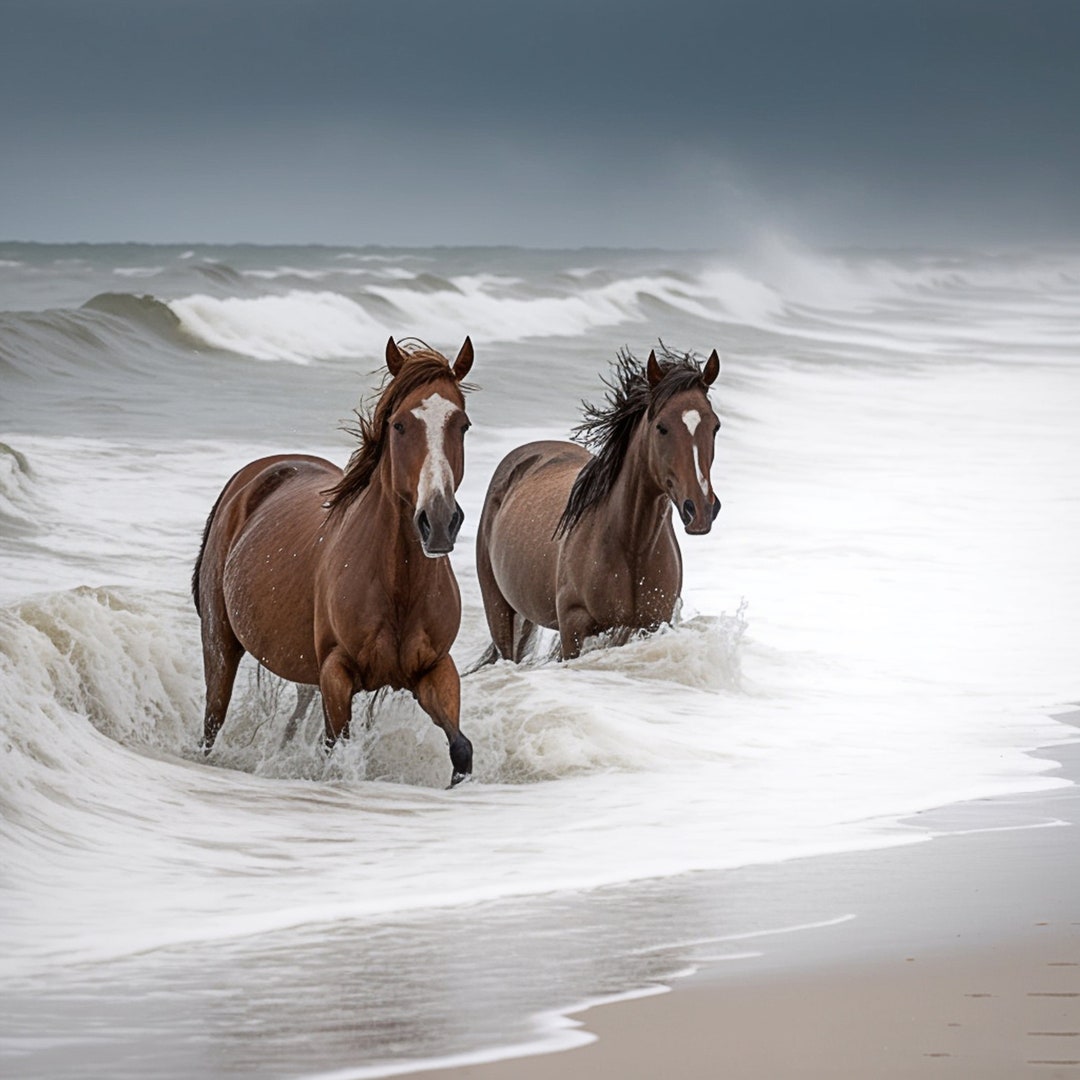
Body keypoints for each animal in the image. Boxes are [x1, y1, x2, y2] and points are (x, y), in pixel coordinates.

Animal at [192, 336, 476, 786]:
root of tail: (247, 480)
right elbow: (337, 749)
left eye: (461, 425)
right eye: (399, 425)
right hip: (220, 643)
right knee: (212, 720)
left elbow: (461, 749)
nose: (439, 522)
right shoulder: (337, 672)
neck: (396, 582)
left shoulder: (435, 670)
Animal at [475, 344, 720, 662]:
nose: (700, 510)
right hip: (500, 612)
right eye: (661, 427)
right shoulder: (573, 625)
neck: (630, 544)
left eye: (715, 426)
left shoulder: (650, 626)